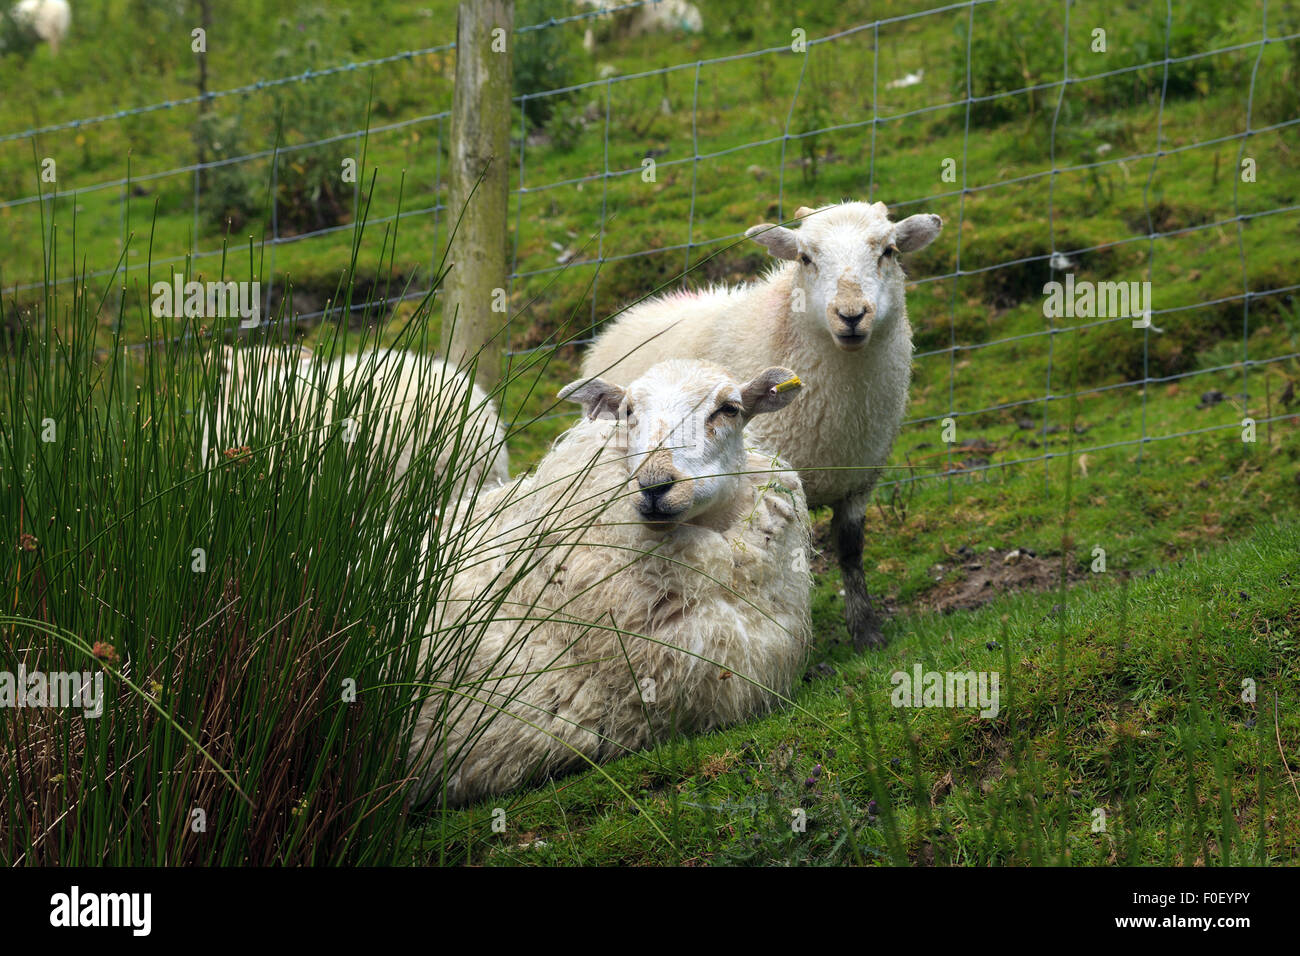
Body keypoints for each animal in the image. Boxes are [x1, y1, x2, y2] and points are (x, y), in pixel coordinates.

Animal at [580, 201, 943, 650]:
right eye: (805, 258)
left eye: (889, 251)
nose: (851, 315)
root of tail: (640, 311)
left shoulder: (859, 479)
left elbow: (851, 549)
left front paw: (866, 630)